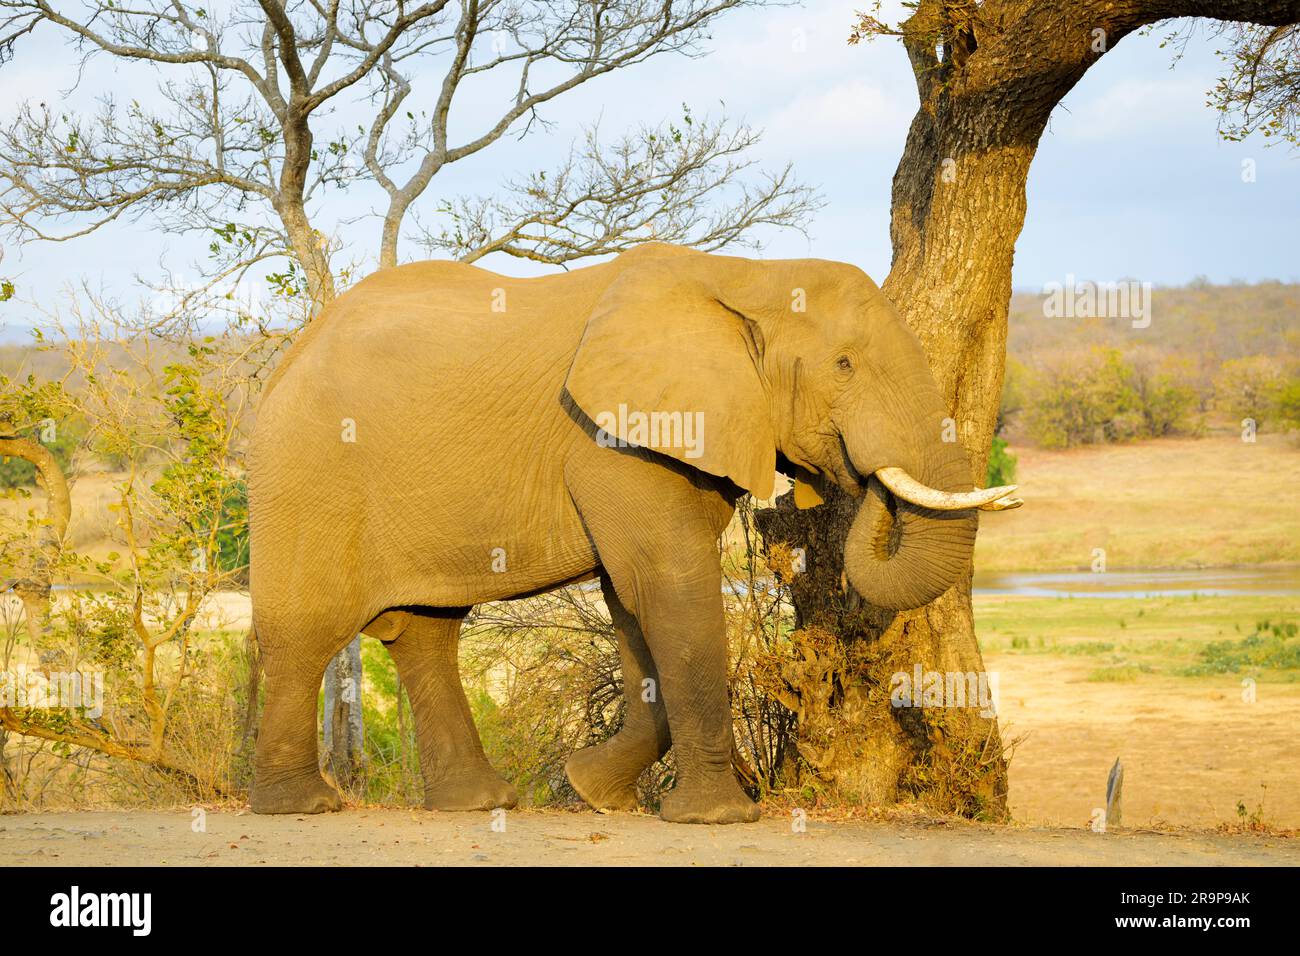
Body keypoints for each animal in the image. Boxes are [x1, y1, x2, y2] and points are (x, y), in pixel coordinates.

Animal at [246, 241, 1020, 824]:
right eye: (844, 364)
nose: (858, 478)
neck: (745, 273)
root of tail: (287, 356)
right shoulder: (616, 439)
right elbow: (669, 586)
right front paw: (717, 818)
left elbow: (634, 601)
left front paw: (592, 791)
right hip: (308, 475)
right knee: (306, 631)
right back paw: (303, 806)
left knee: (427, 632)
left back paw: (480, 803)